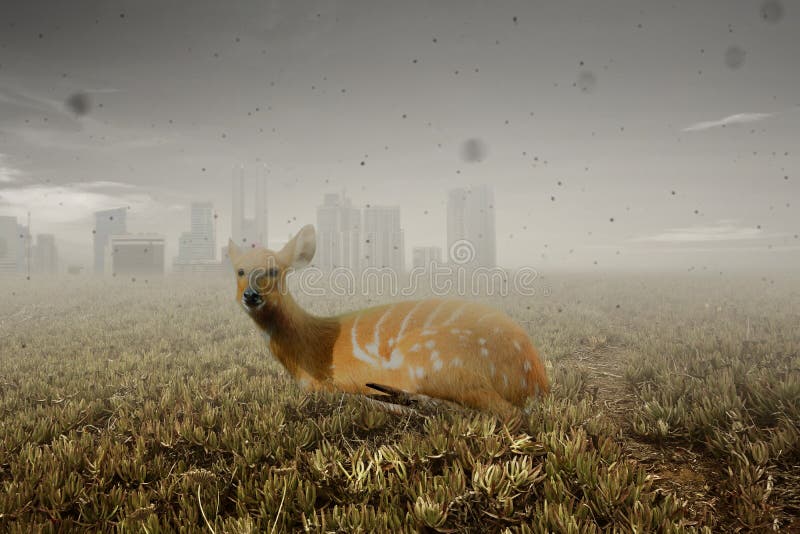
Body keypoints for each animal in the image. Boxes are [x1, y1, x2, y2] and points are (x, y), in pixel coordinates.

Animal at [227, 224, 549, 419]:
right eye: (239, 270)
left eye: (274, 270)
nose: (251, 295)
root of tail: (536, 378)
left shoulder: (323, 382)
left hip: (432, 358)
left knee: (506, 412)